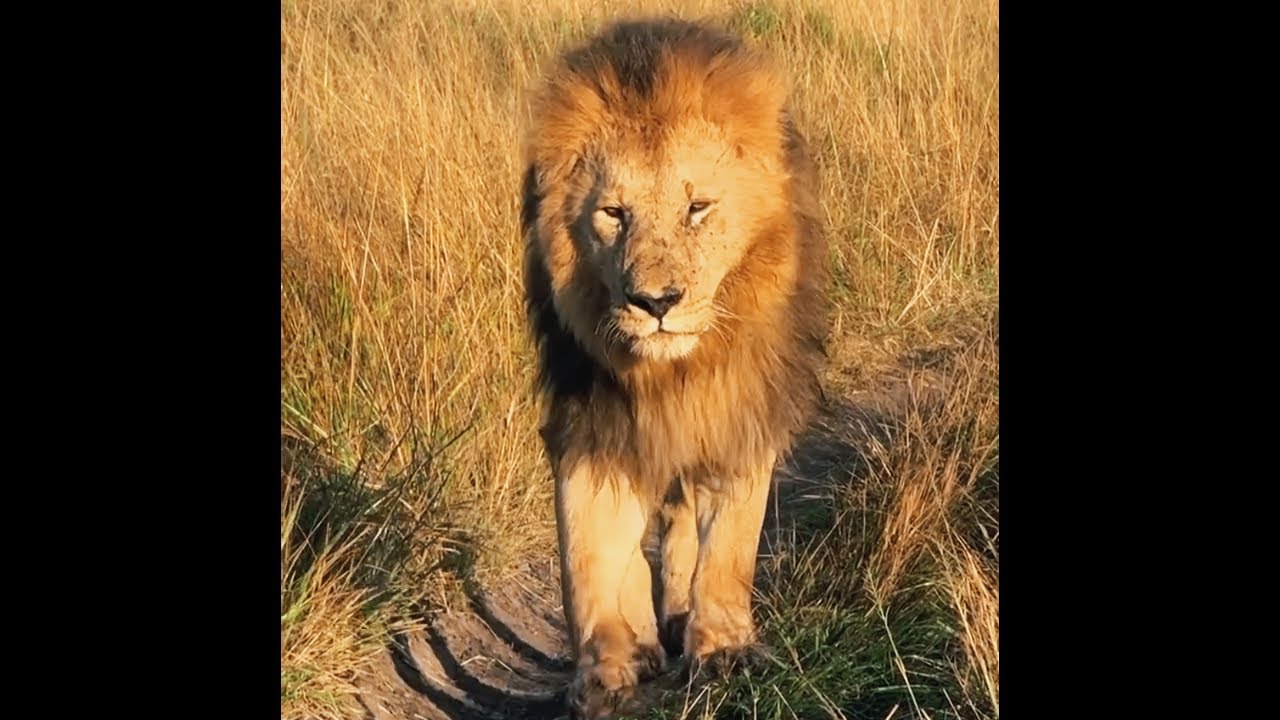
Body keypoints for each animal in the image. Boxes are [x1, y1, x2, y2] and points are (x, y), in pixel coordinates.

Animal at [520, 18, 829, 719]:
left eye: (698, 208)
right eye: (613, 213)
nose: (655, 303)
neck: (670, 375)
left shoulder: (739, 413)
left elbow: (728, 546)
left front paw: (722, 649)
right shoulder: (590, 420)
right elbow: (585, 552)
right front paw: (603, 672)